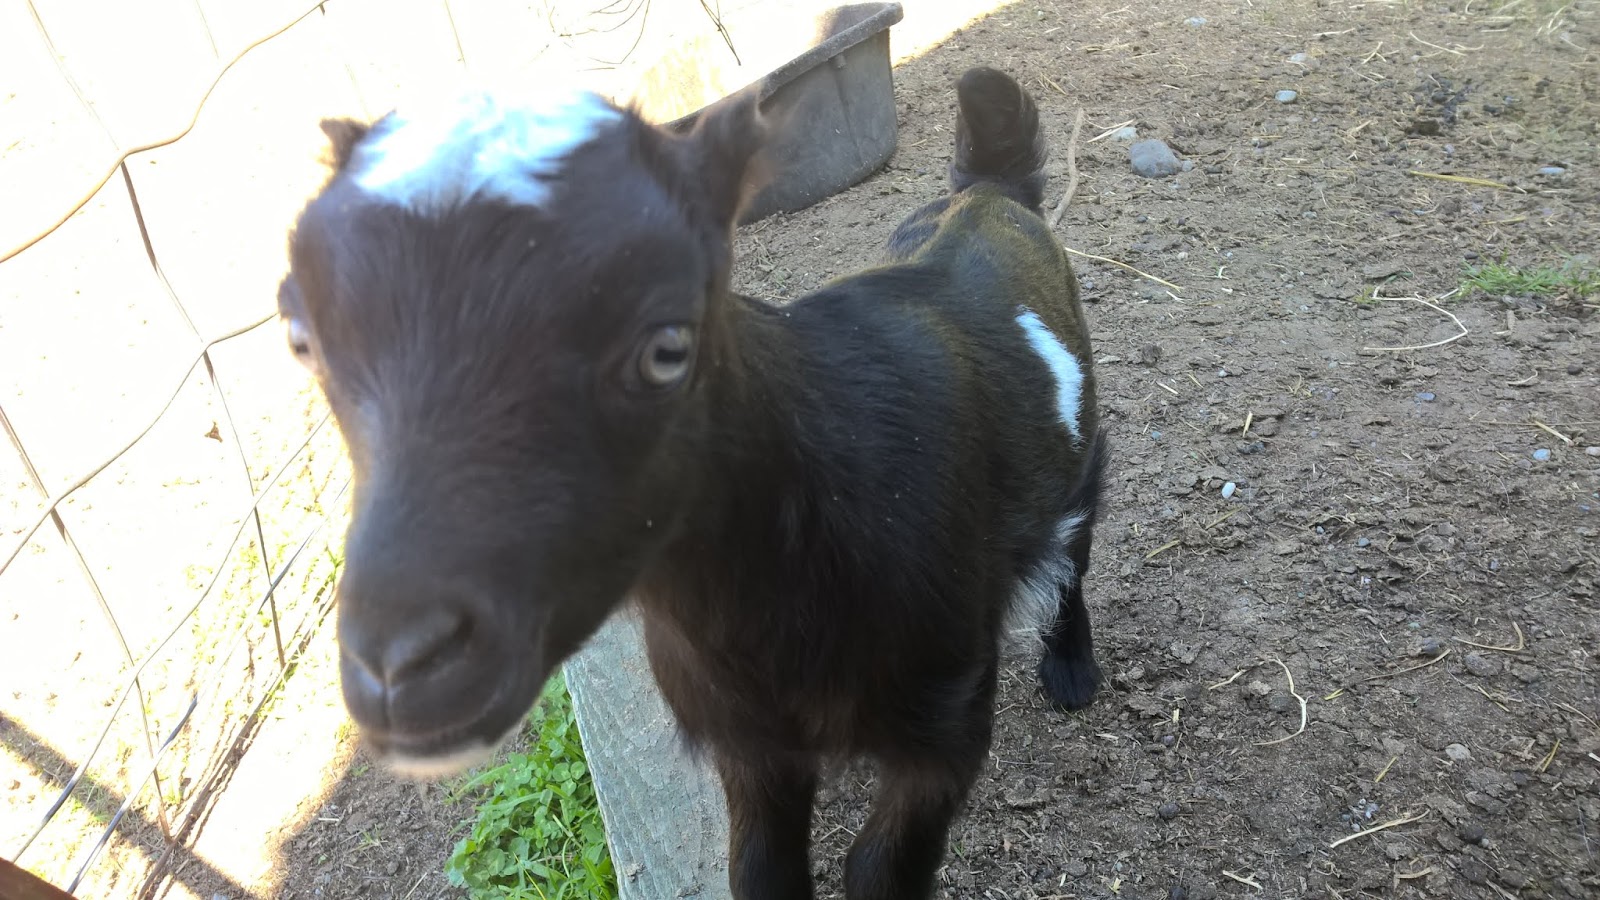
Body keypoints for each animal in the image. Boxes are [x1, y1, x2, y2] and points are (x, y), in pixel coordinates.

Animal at [277, 65, 1107, 899]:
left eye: (667, 346)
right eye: (299, 338)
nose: (399, 670)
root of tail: (990, 189)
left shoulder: (946, 719)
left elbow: (879, 870)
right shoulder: (746, 742)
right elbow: (760, 871)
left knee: (1075, 551)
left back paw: (1072, 668)